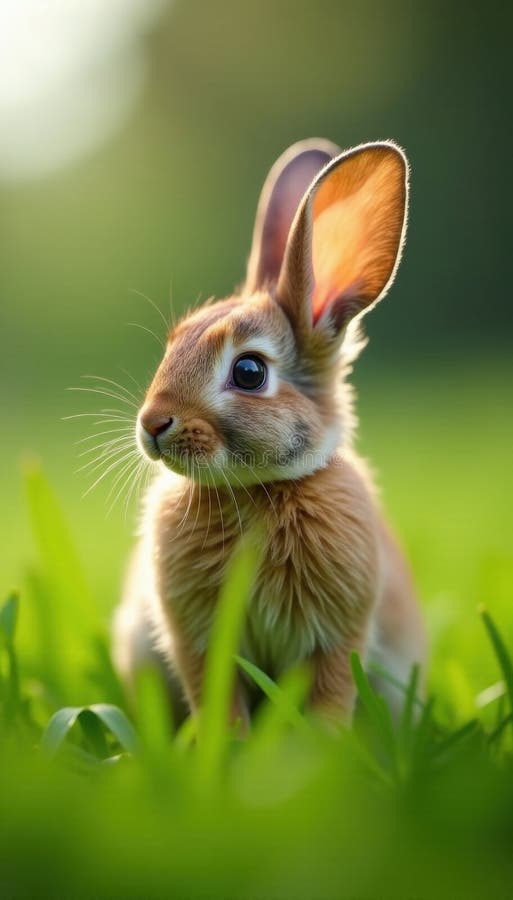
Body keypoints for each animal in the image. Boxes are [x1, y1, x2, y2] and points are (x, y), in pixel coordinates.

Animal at [112, 138, 427, 726]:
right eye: (175, 344)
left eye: (249, 372)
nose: (153, 424)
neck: (258, 491)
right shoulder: (199, 642)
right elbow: (217, 700)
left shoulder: (335, 640)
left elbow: (329, 698)